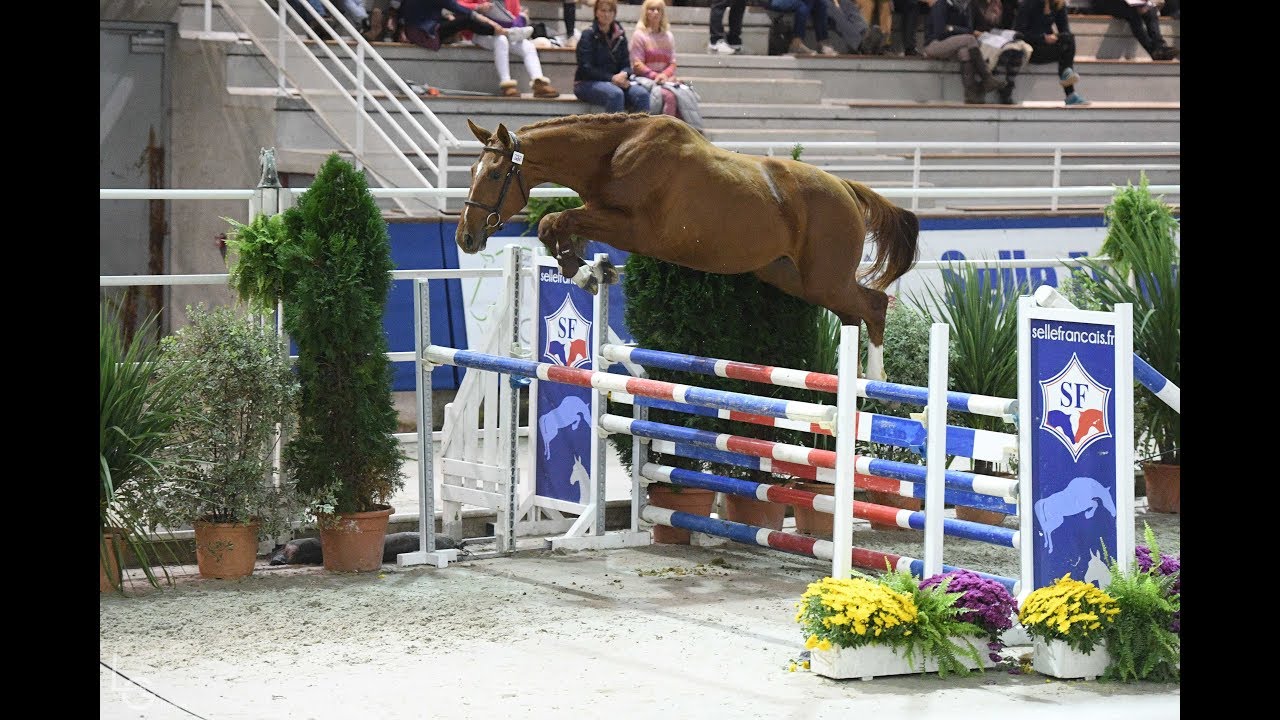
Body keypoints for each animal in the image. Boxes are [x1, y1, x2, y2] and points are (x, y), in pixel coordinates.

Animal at [456, 113, 920, 381]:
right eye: (472, 171)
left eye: (494, 175)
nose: (466, 237)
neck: (613, 152)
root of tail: (846, 187)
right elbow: (555, 227)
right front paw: (587, 271)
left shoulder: (634, 228)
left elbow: (554, 221)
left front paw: (585, 272)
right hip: (793, 277)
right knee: (855, 314)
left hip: (825, 278)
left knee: (875, 305)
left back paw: (875, 383)